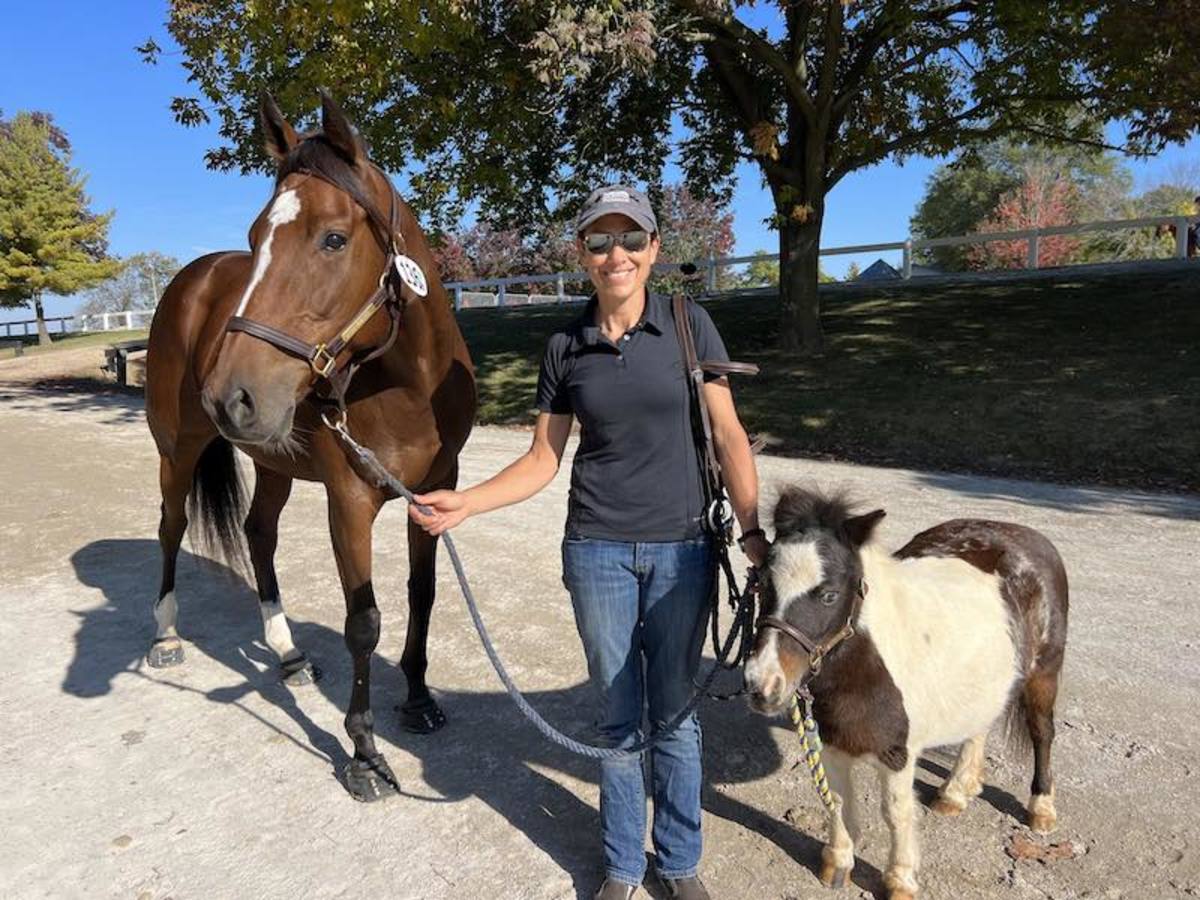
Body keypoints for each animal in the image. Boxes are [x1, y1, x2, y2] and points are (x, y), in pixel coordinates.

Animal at [144, 92, 476, 801]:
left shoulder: (437, 491)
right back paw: (165, 635)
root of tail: (191, 279)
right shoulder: (348, 501)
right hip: (177, 452)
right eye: (254, 239)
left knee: (258, 532)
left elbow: (423, 592)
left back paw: (288, 653)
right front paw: (365, 755)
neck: (408, 386)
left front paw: (419, 698)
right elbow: (364, 621)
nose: (229, 395)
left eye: (334, 238)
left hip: (273, 462)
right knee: (170, 527)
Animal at [744, 487, 1068, 900]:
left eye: (829, 595)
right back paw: (955, 793)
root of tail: (1028, 536)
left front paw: (899, 880)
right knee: (979, 725)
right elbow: (836, 799)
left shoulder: (899, 754)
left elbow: (895, 813)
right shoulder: (830, 742)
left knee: (1042, 733)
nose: (761, 685)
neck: (867, 665)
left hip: (1044, 674)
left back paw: (1040, 809)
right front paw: (838, 863)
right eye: (762, 583)